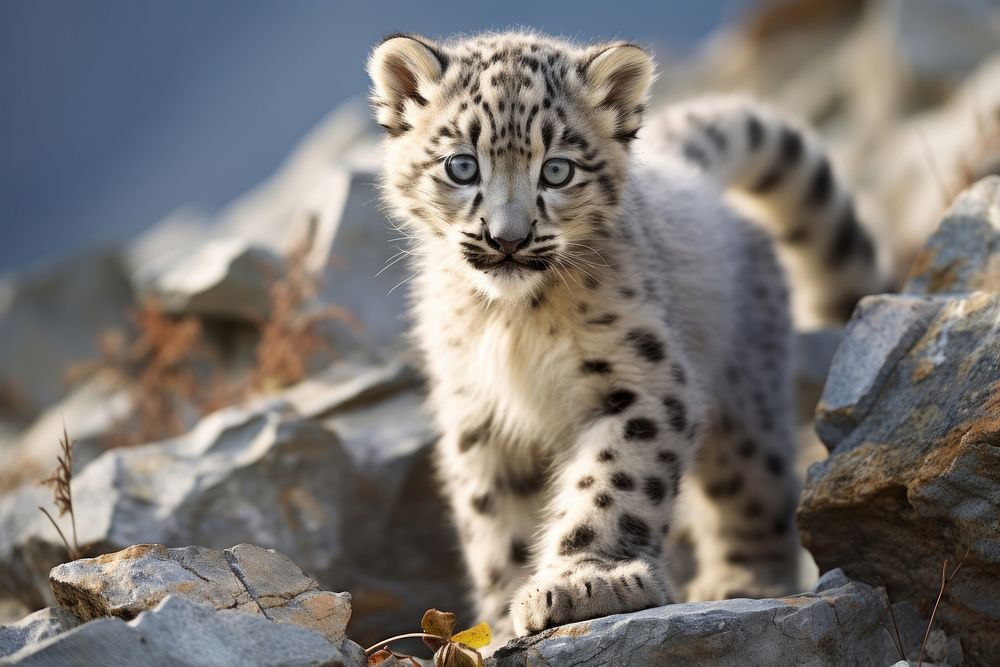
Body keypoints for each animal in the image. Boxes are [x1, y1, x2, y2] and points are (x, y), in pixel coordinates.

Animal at [366, 30, 884, 648]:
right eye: (462, 166)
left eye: (557, 171)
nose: (507, 240)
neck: (515, 322)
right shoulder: (478, 414)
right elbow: (495, 520)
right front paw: (501, 614)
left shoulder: (642, 379)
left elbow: (614, 481)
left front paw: (587, 582)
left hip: (745, 401)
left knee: (755, 487)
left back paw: (744, 579)